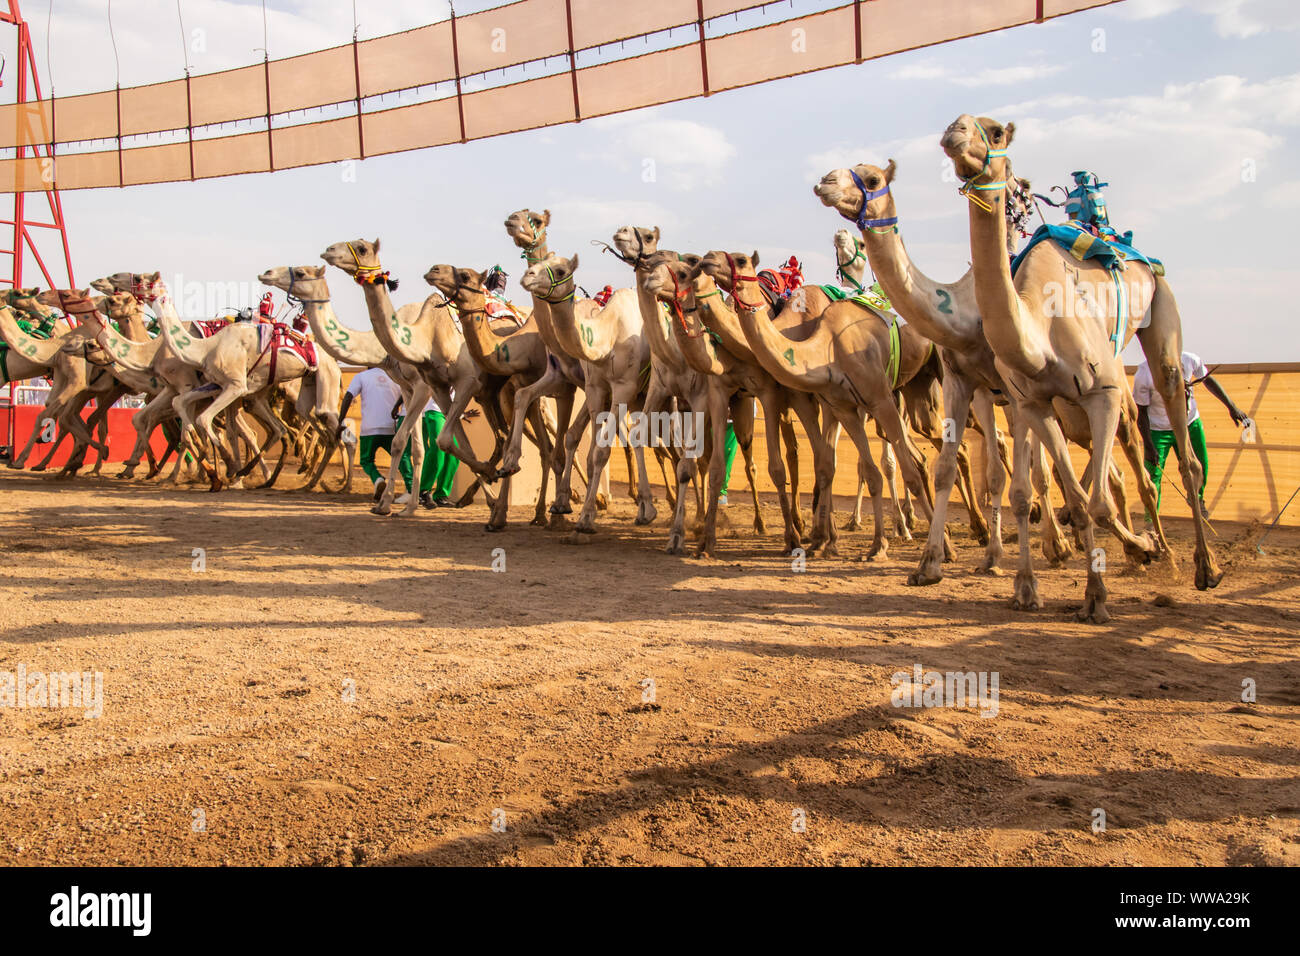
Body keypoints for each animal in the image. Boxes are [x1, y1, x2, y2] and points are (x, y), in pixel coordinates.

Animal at [939, 113, 1214, 622]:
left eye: (995, 132)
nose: (955, 132)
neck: (1038, 324)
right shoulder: (1035, 401)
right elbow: (1081, 500)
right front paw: (1091, 591)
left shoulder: (1101, 392)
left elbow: (1099, 501)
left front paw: (1109, 580)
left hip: (1160, 312)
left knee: (1176, 452)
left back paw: (1195, 564)